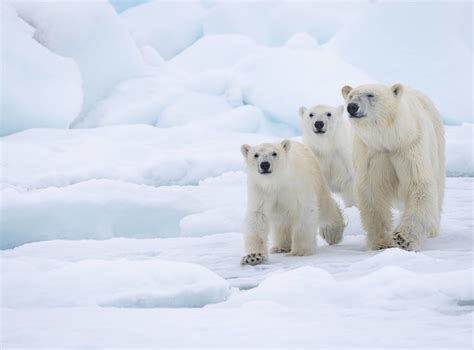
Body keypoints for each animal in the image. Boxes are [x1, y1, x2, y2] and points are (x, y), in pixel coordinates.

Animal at [340, 83, 444, 250]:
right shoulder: (371, 153)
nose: (352, 107)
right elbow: (373, 192)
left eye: (370, 95)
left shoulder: (410, 147)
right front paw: (381, 242)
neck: (390, 139)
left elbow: (419, 186)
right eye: (350, 96)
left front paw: (403, 239)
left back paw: (432, 229)